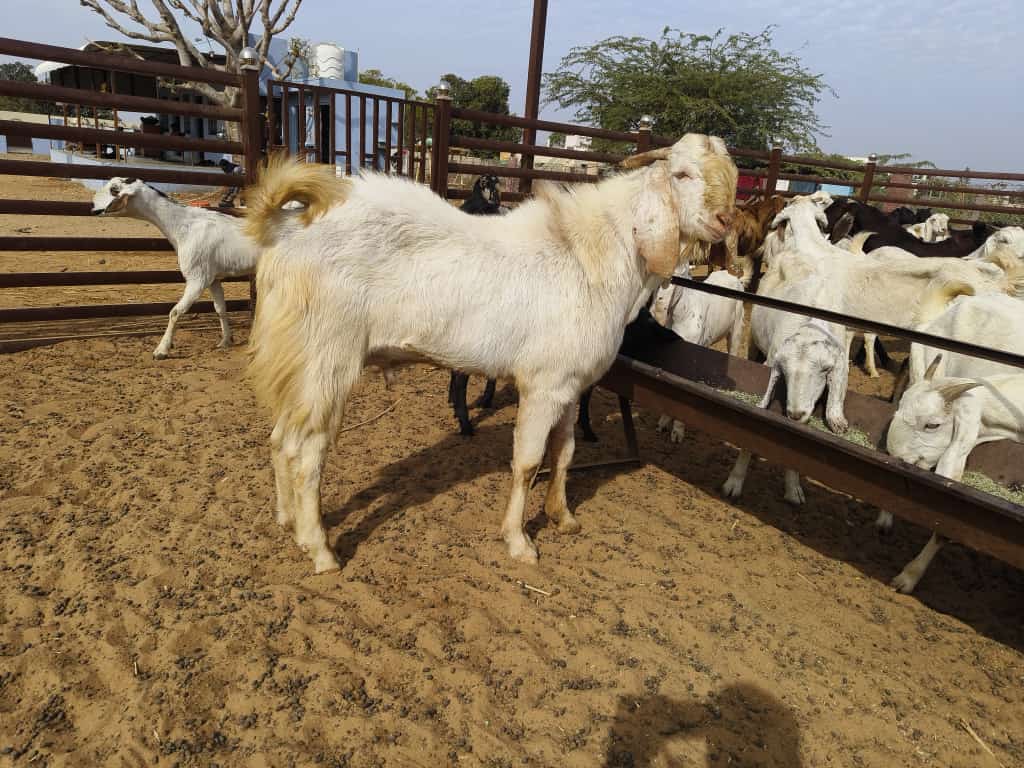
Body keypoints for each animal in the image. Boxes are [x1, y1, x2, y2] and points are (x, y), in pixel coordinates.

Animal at [91, 178, 258, 359]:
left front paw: (161, 350)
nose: (92, 205)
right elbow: (220, 308)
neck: (183, 225)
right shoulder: (212, 278)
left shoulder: (198, 278)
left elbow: (175, 312)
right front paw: (226, 341)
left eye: (114, 189)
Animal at [245, 136, 738, 572]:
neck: (591, 256)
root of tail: (282, 228)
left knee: (280, 438)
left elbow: (565, 451)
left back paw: (287, 520)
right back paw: (320, 550)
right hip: (326, 358)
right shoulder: (543, 385)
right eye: (682, 173)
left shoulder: (569, 384)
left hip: (299, 364)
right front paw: (519, 542)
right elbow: (528, 463)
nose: (722, 220)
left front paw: (562, 517)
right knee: (307, 451)